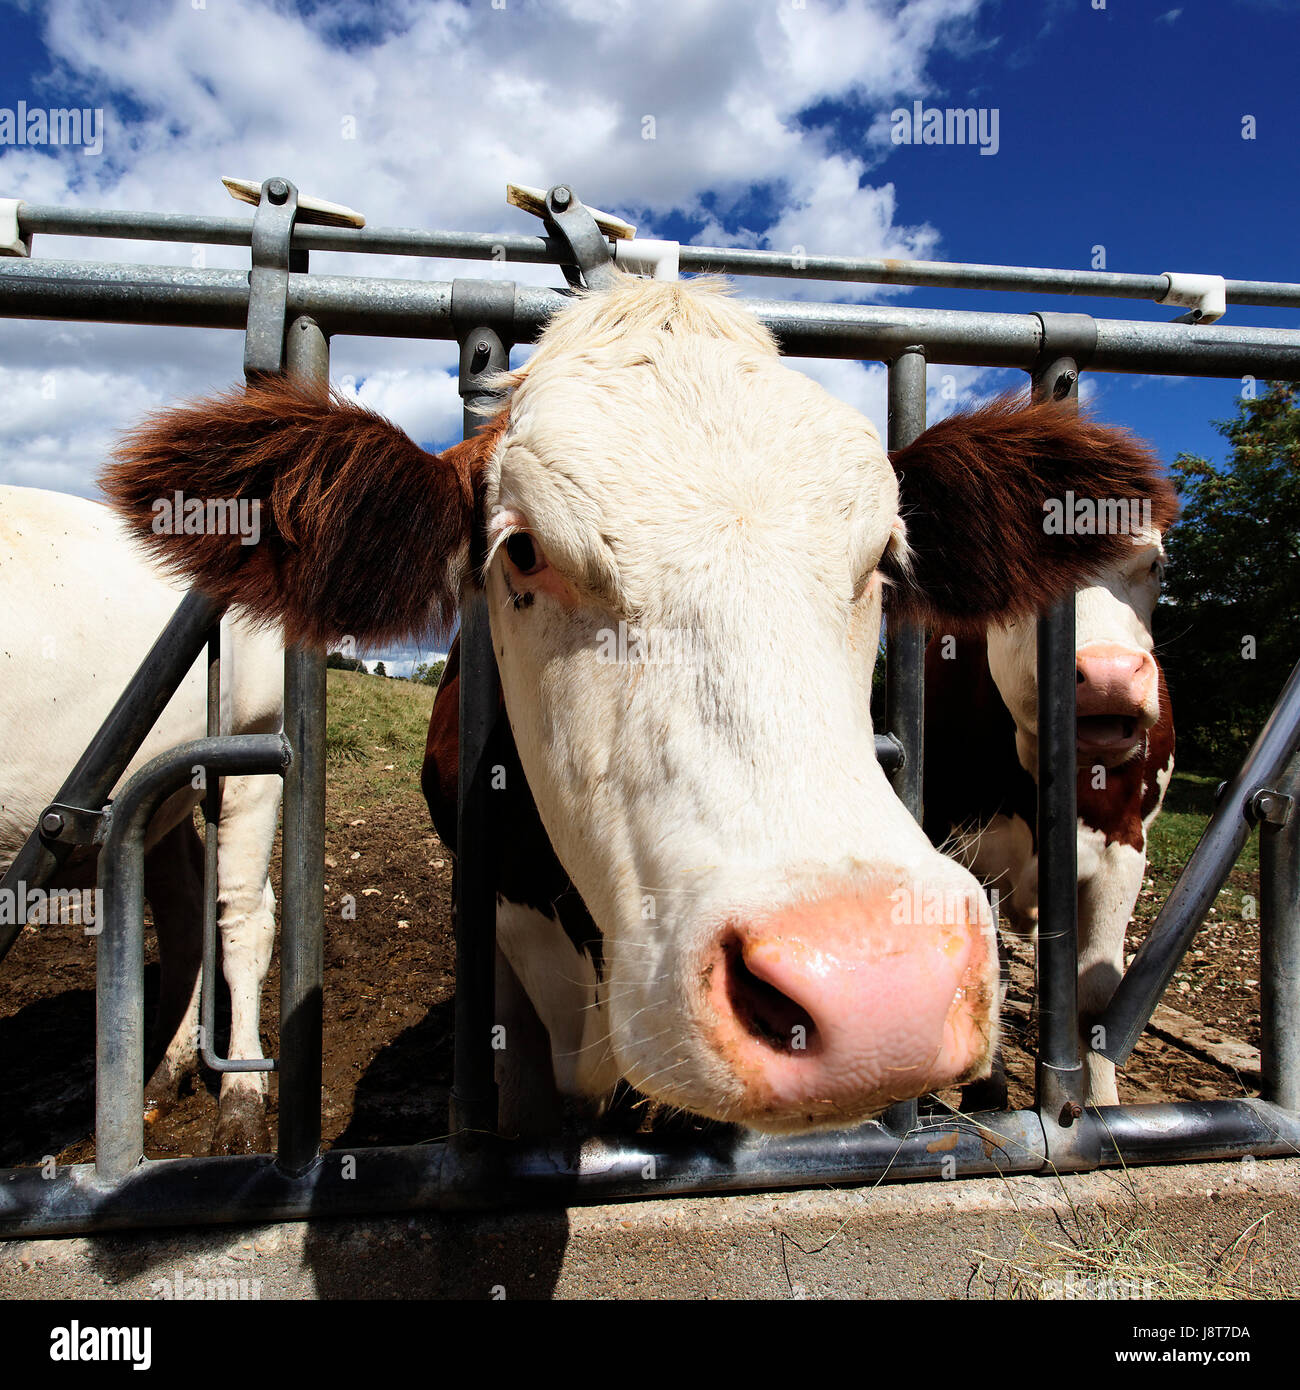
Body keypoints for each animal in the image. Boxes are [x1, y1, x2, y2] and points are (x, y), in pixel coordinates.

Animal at [0, 485, 284, 1154]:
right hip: (163, 793)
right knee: (185, 908)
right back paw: (161, 1075)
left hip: (254, 746)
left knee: (243, 913)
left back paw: (241, 1103)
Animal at [923, 525, 1176, 1108]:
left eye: (1154, 566)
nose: (1109, 677)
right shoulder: (963, 850)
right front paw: (987, 1098)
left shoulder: (1123, 850)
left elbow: (1096, 992)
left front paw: (1102, 1107)